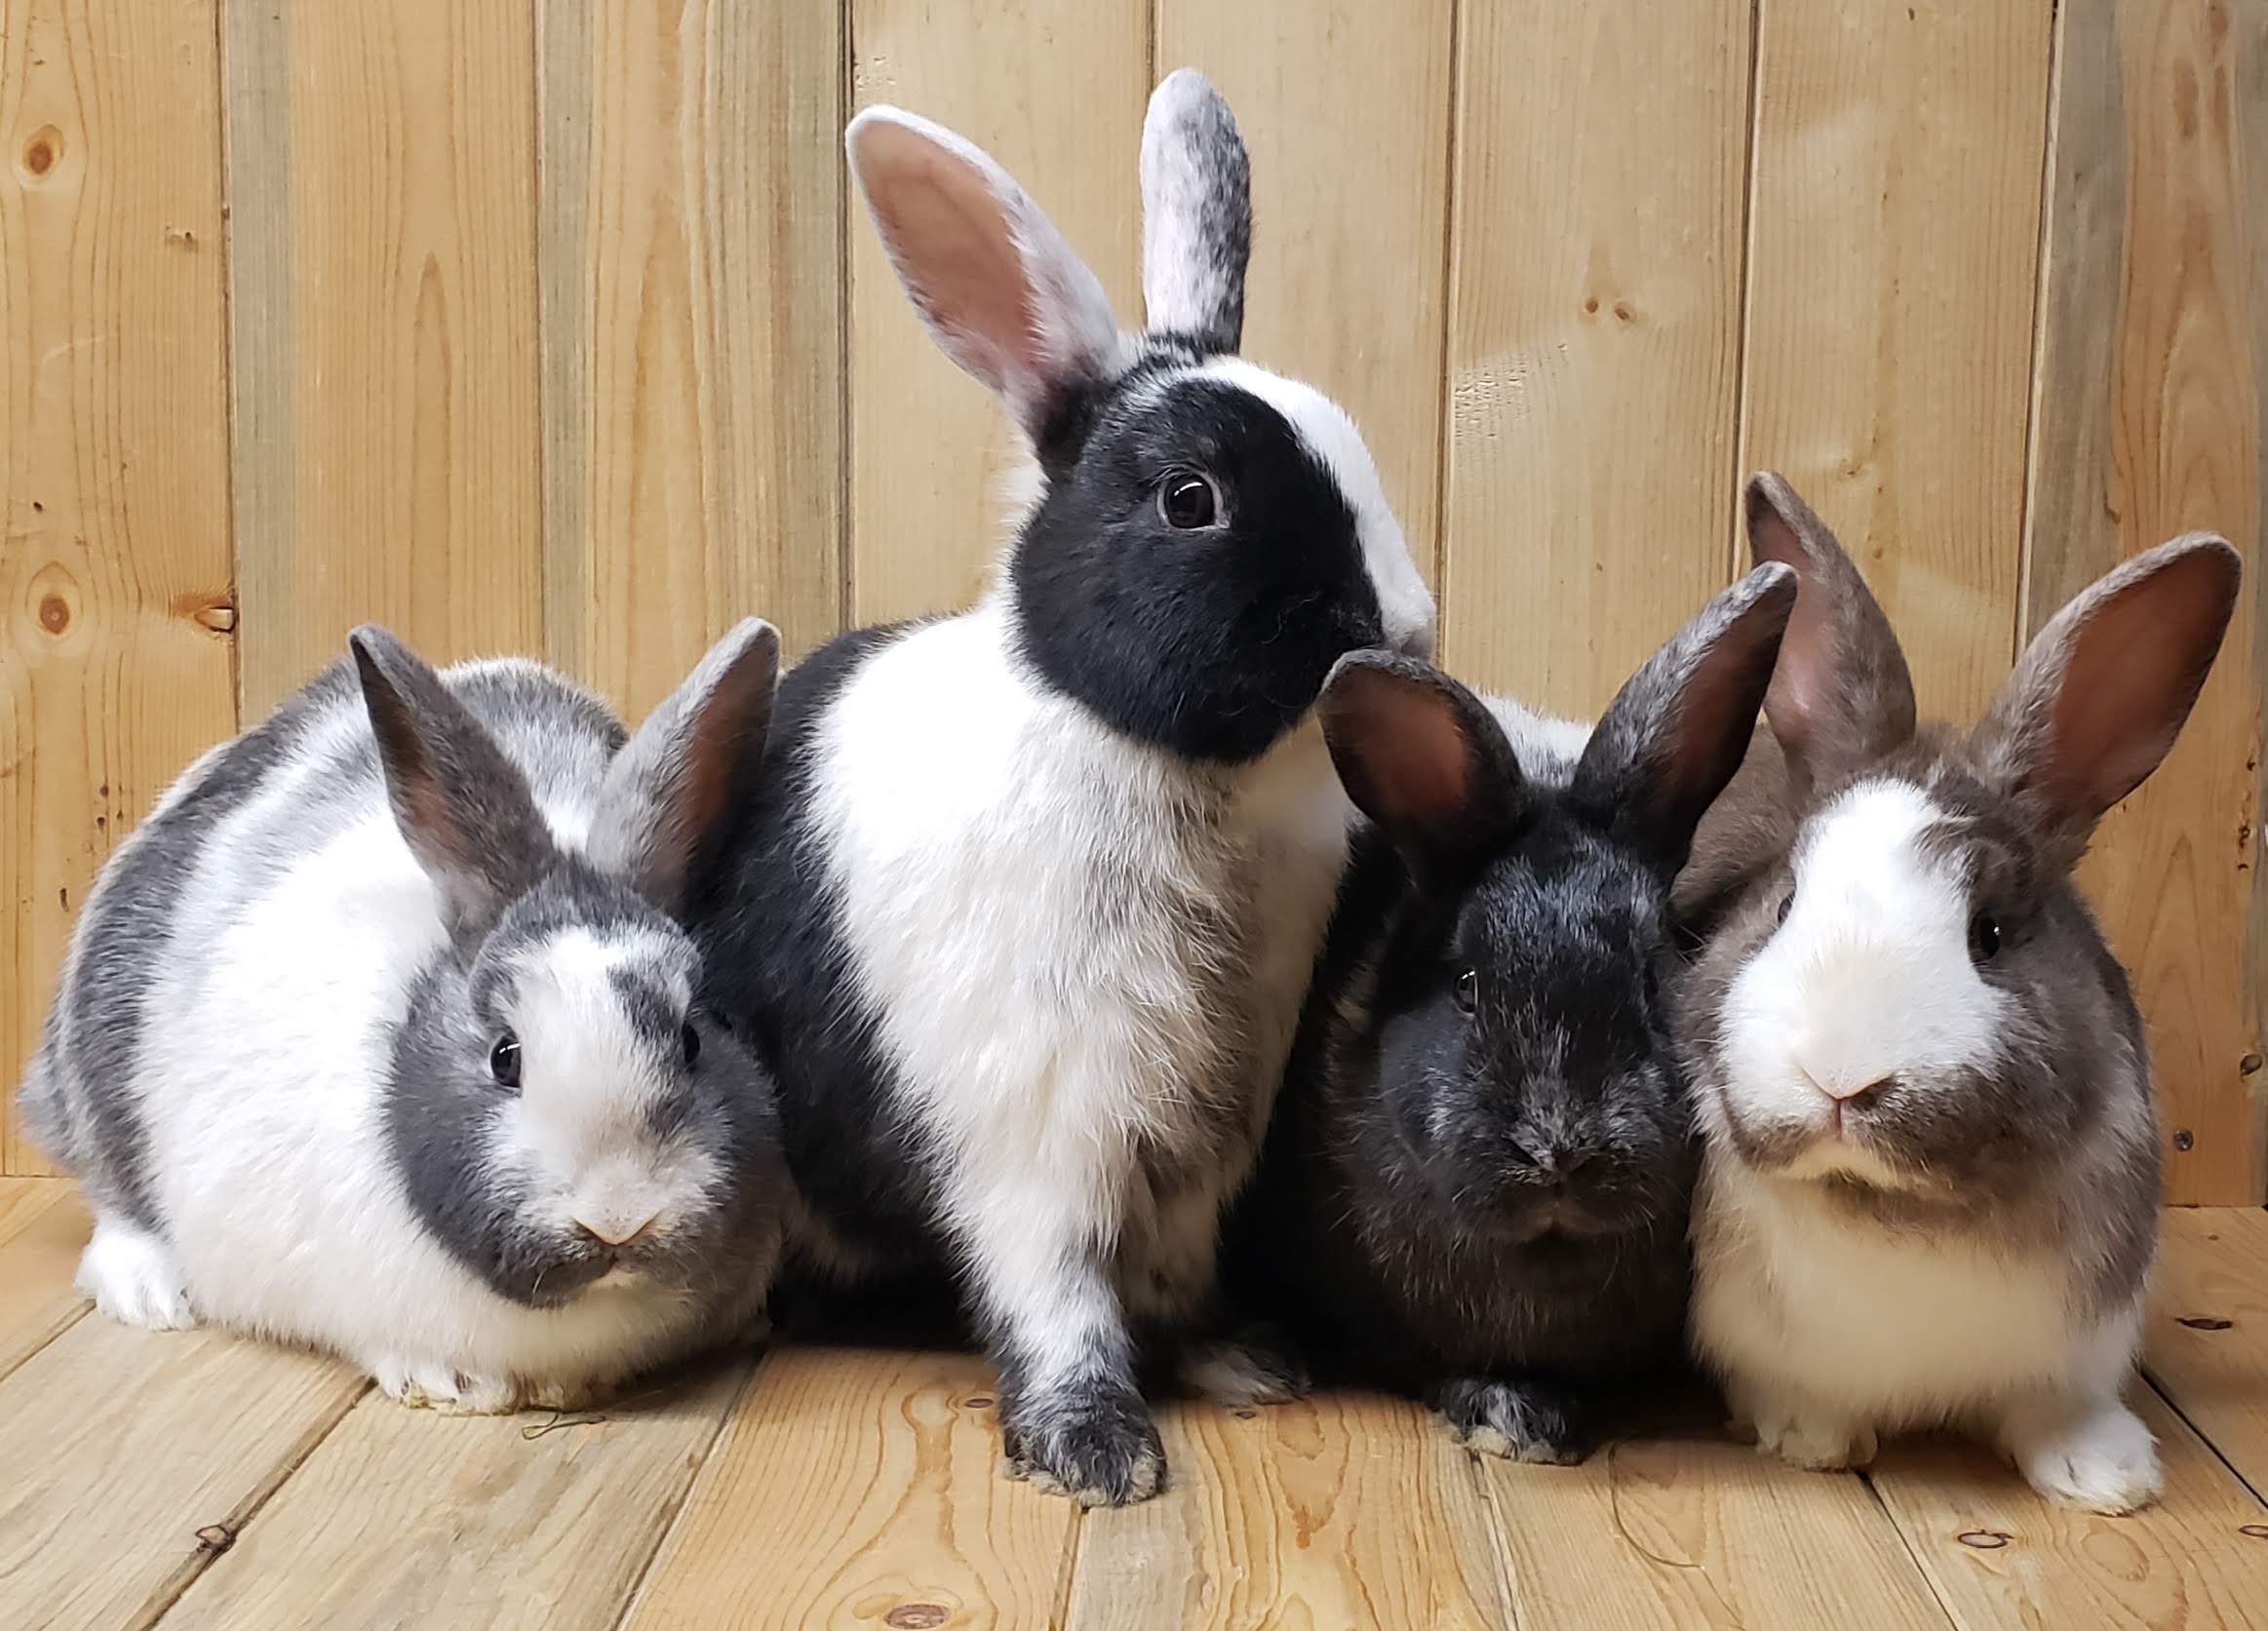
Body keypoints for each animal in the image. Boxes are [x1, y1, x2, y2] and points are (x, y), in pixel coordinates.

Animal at [22, 620, 791, 1413]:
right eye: (505, 1056)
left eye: (691, 1039)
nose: (617, 1218)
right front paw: (449, 1383)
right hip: (99, 1061)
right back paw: (148, 1293)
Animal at [690, 68, 1434, 1506]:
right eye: (1190, 499)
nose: (1403, 632)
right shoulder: (1034, 1131)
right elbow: (1054, 1294)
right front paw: (1096, 1450)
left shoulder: (1198, 1143)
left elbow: (1170, 1275)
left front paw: (1241, 1361)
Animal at [1674, 472, 2242, 1514]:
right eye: (1782, 903)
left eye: (1992, 932)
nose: (1842, 1076)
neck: (1898, 1211)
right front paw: (1809, 1439)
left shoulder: (2073, 1347)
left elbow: (2058, 1406)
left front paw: (2111, 1476)